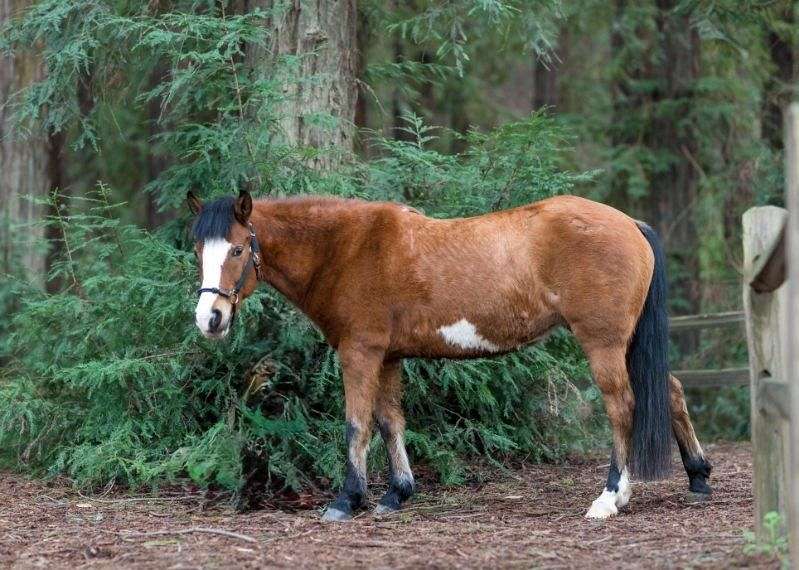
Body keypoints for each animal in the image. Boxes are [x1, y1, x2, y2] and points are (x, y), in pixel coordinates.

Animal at [187, 189, 713, 522]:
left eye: (237, 249)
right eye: (198, 250)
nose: (210, 317)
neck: (346, 248)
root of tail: (631, 223)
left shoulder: (360, 353)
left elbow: (357, 425)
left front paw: (347, 500)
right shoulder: (388, 357)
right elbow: (390, 422)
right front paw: (396, 495)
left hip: (603, 342)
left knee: (622, 406)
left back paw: (609, 498)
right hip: (628, 343)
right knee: (669, 391)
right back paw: (697, 479)